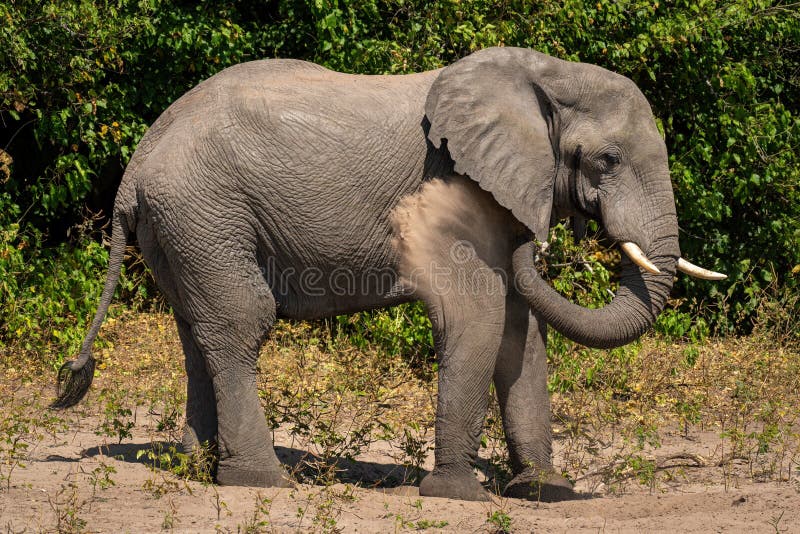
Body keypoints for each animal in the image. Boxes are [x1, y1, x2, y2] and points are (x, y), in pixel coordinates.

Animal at [52, 47, 724, 502]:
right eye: (607, 159)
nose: (542, 239)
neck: (541, 74)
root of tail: (134, 169)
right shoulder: (456, 187)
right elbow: (478, 316)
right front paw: (458, 495)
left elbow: (521, 333)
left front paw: (542, 491)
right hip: (203, 209)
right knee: (242, 323)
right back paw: (261, 481)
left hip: (183, 229)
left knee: (199, 334)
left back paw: (198, 470)